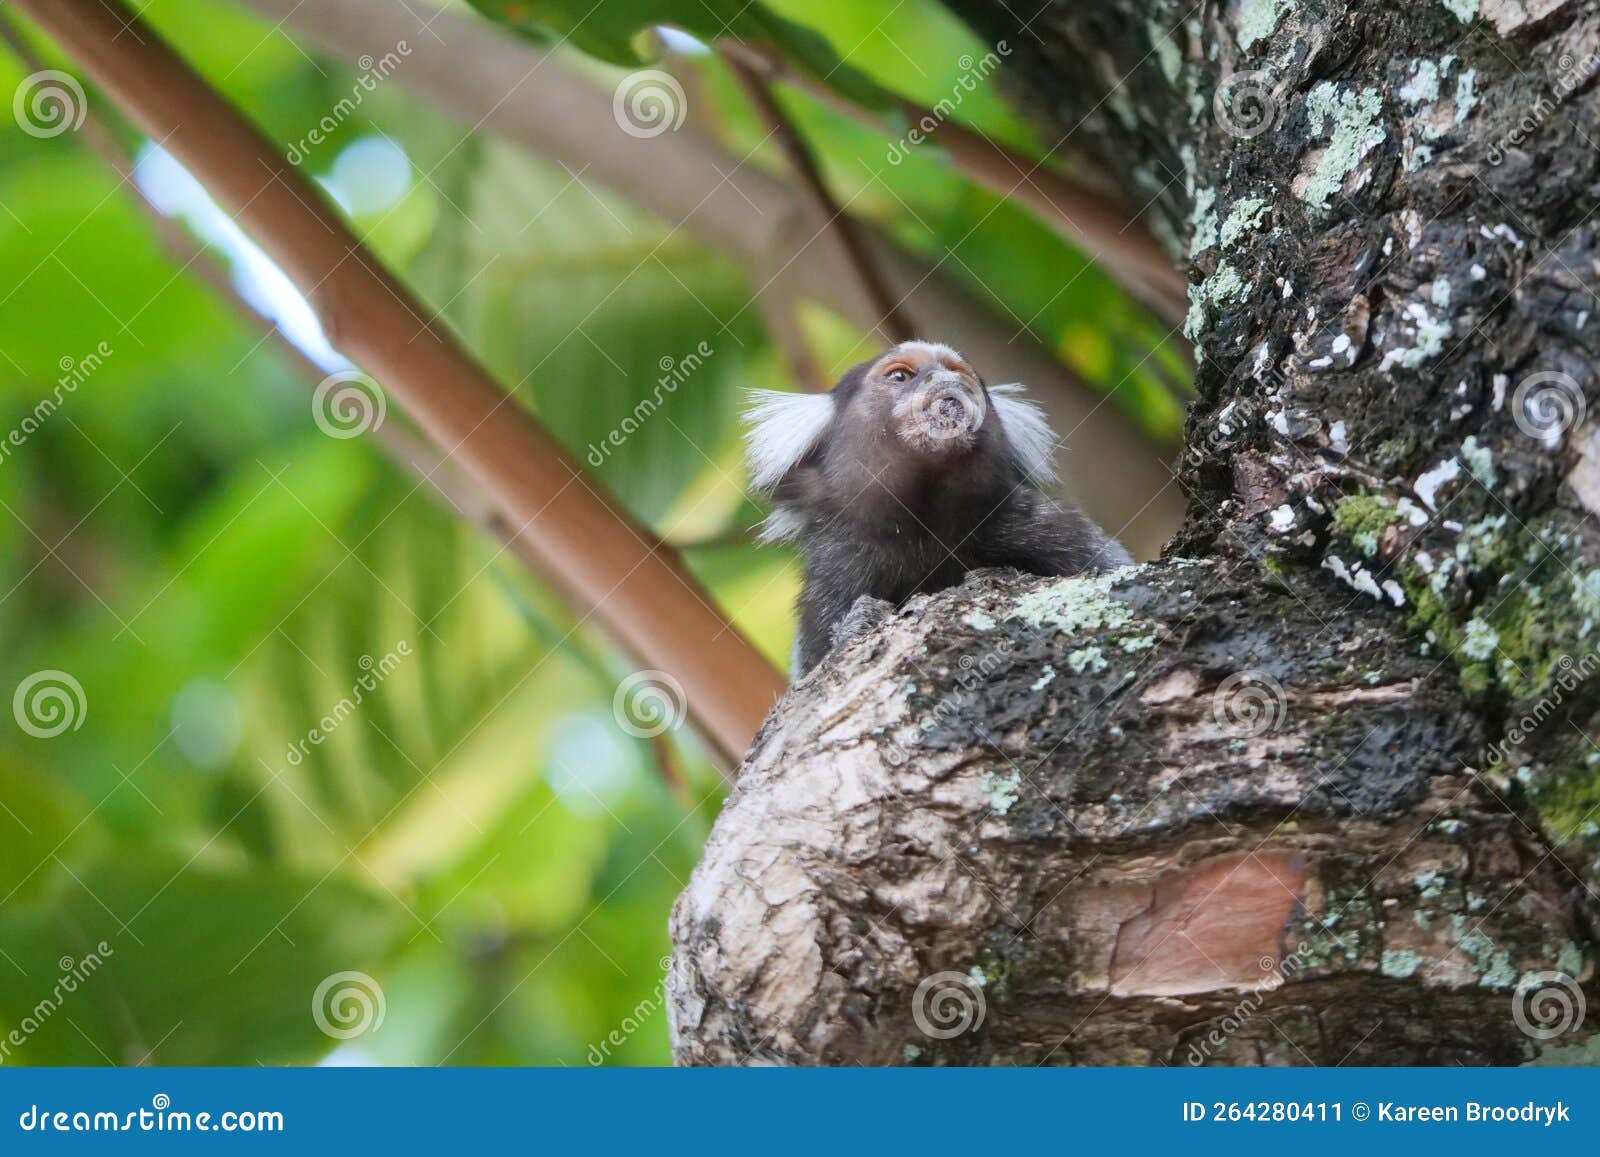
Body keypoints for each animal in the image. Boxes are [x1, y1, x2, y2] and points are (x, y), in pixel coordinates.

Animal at [745, 340, 1133, 677]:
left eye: (957, 371)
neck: (924, 531)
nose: (948, 380)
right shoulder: (836, 569)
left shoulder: (1050, 528)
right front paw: (856, 625)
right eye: (900, 376)